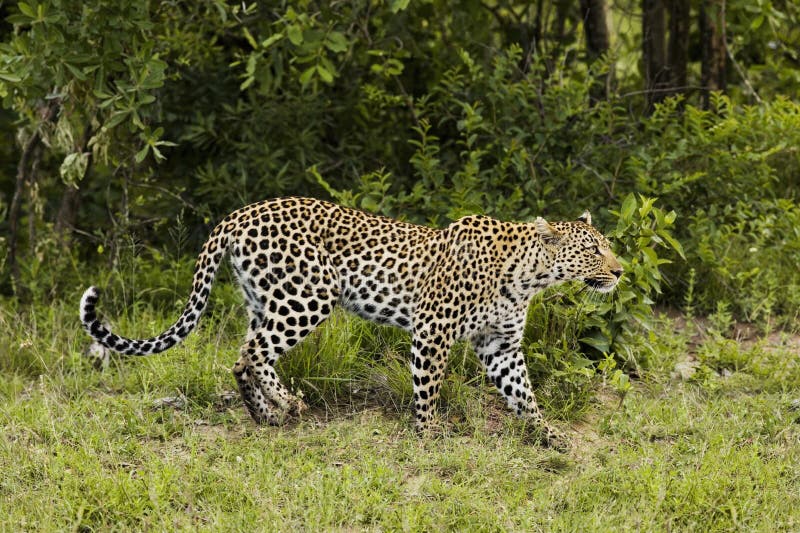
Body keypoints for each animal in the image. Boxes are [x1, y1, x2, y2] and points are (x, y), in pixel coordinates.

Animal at [80, 197, 623, 447]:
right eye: (593, 249)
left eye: (607, 246)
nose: (619, 271)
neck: (530, 276)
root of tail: (239, 213)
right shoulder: (432, 330)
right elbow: (429, 388)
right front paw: (428, 436)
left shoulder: (501, 345)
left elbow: (524, 395)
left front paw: (551, 437)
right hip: (308, 295)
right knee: (255, 351)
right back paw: (288, 402)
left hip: (265, 299)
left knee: (242, 355)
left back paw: (268, 415)